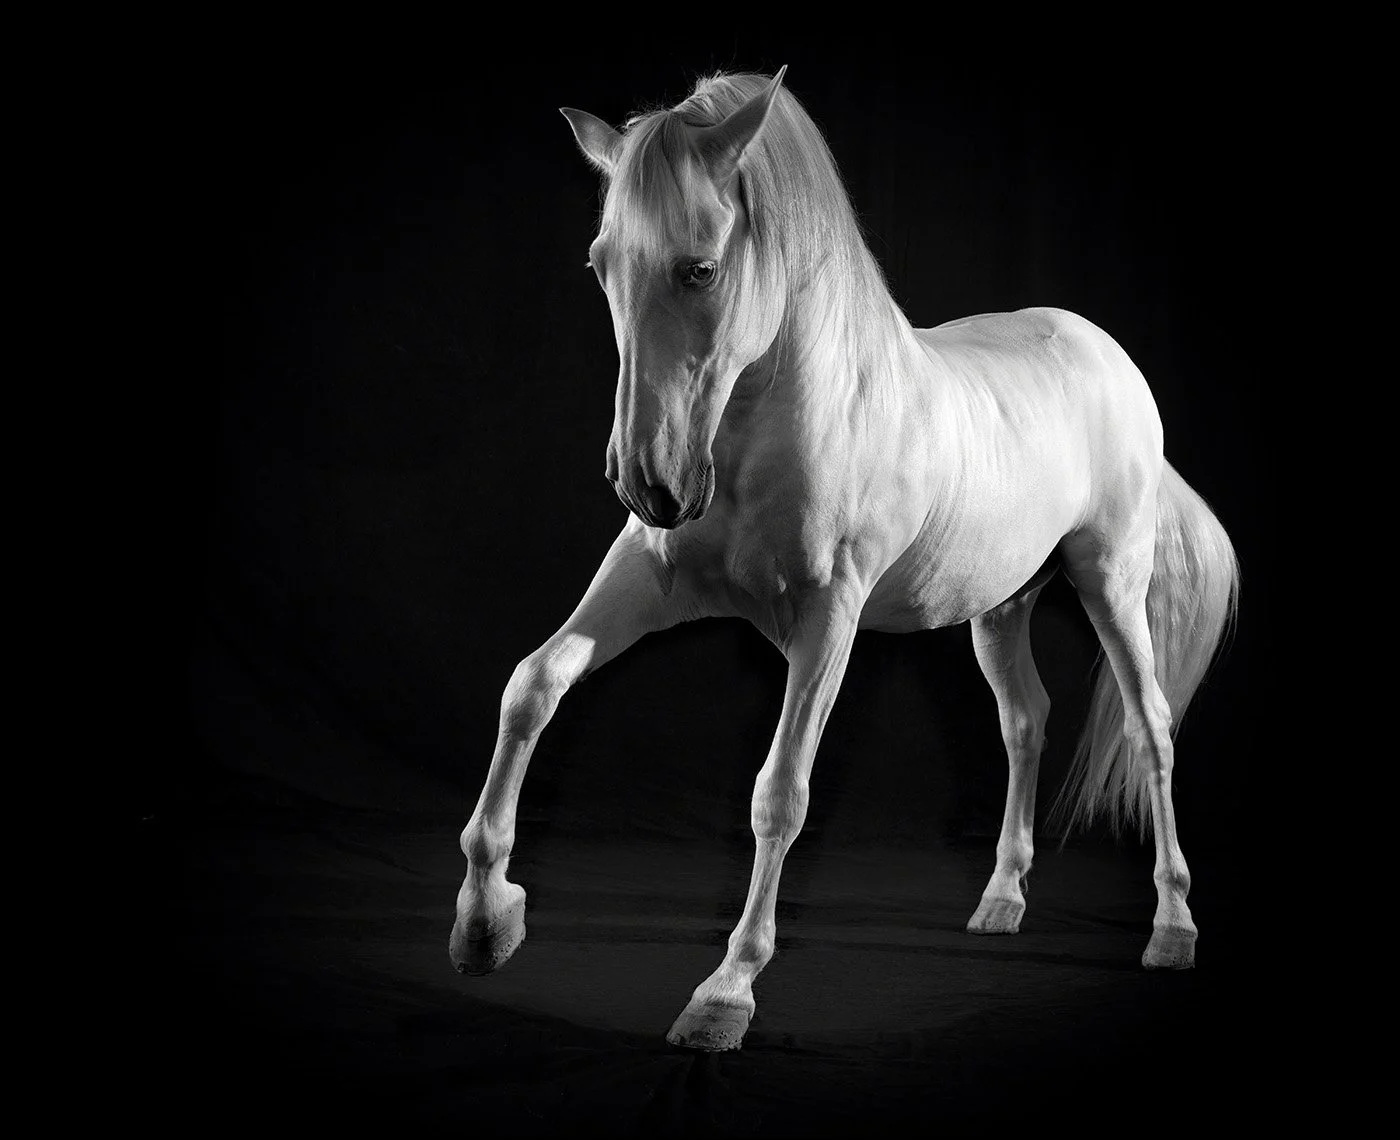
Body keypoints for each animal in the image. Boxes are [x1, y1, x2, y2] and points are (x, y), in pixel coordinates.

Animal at [448, 68, 1240, 1052]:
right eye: (600, 264)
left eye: (700, 268)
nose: (649, 485)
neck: (766, 432)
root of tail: (1106, 353)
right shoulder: (647, 578)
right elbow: (533, 685)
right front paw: (486, 919)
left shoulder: (828, 616)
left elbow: (780, 792)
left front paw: (726, 993)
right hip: (999, 607)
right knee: (1025, 721)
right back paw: (1001, 900)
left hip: (1112, 583)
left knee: (1150, 729)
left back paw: (1172, 927)